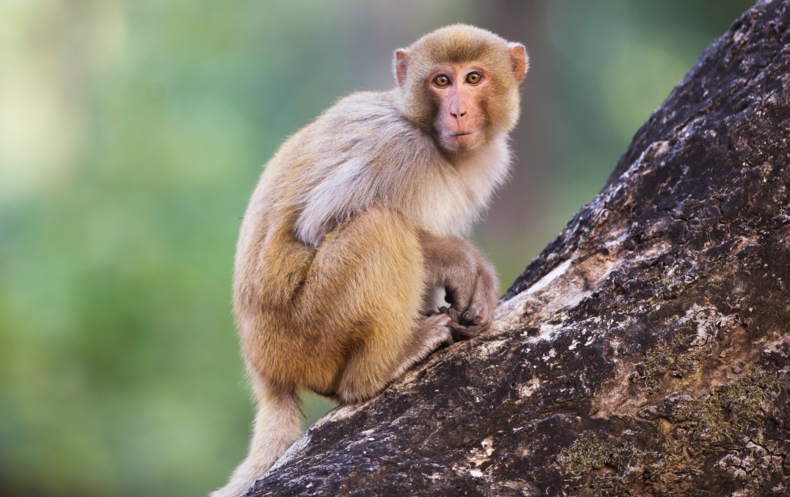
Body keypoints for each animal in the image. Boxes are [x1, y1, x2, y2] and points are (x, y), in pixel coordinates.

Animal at [212, 24, 527, 497]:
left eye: (473, 78)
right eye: (441, 81)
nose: (457, 112)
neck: (424, 131)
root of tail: (264, 370)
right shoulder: (399, 152)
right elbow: (319, 223)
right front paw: (468, 264)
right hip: (305, 336)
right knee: (380, 226)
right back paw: (378, 371)